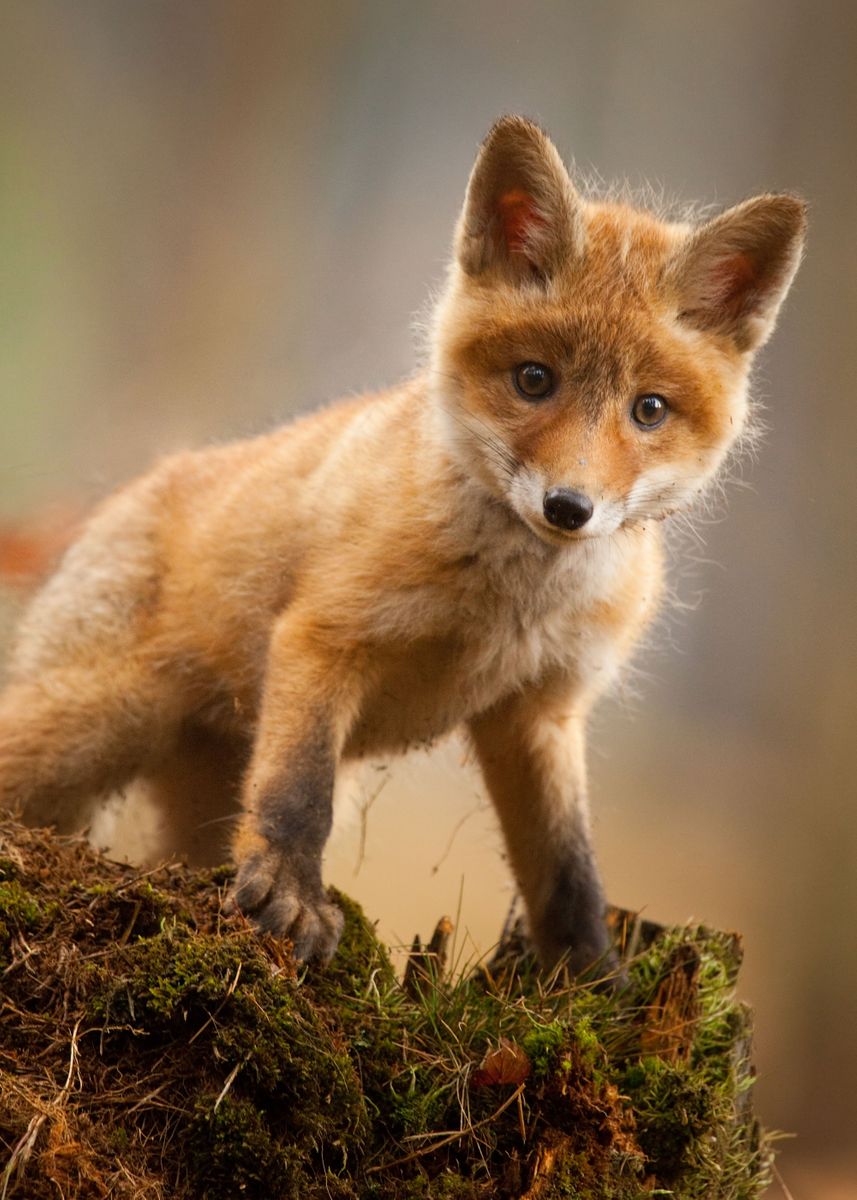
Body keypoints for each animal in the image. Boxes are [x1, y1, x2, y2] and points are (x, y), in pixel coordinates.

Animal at [0, 117, 805, 972]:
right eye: (533, 380)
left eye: (647, 410)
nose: (568, 507)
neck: (508, 605)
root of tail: (125, 494)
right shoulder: (324, 639)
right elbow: (297, 795)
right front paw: (291, 896)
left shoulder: (538, 712)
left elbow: (567, 871)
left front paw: (592, 980)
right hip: (95, 720)